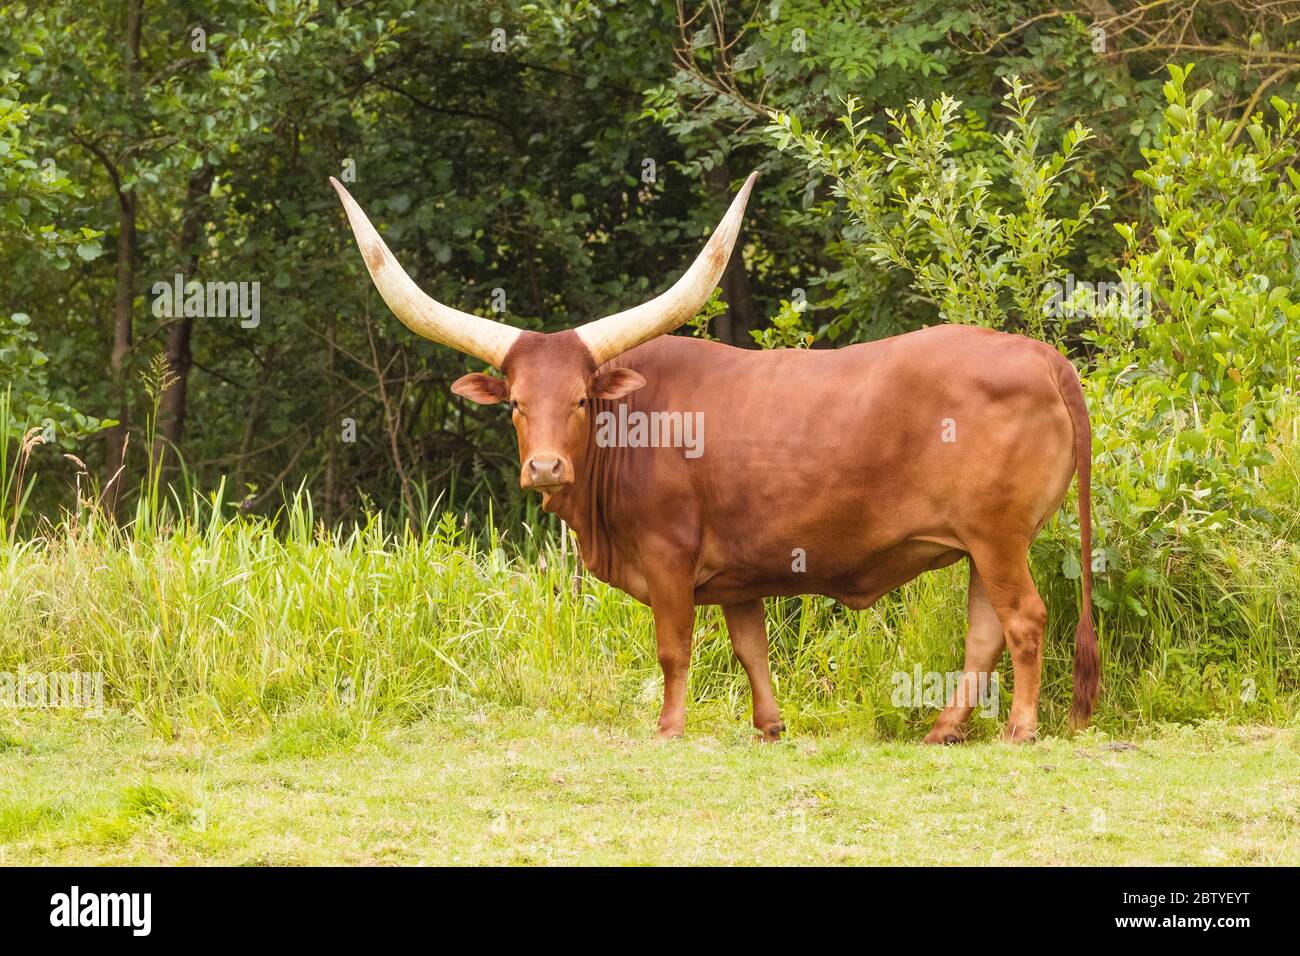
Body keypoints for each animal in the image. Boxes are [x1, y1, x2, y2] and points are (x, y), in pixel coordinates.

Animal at [330, 171, 1098, 744]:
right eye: (515, 403)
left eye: (579, 399)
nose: (545, 468)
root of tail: (1041, 356)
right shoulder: (739, 576)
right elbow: (749, 646)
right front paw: (769, 725)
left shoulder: (668, 556)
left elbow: (675, 646)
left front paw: (669, 727)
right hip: (983, 543)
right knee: (986, 632)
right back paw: (944, 729)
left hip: (998, 537)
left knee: (1025, 619)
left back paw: (1021, 729)